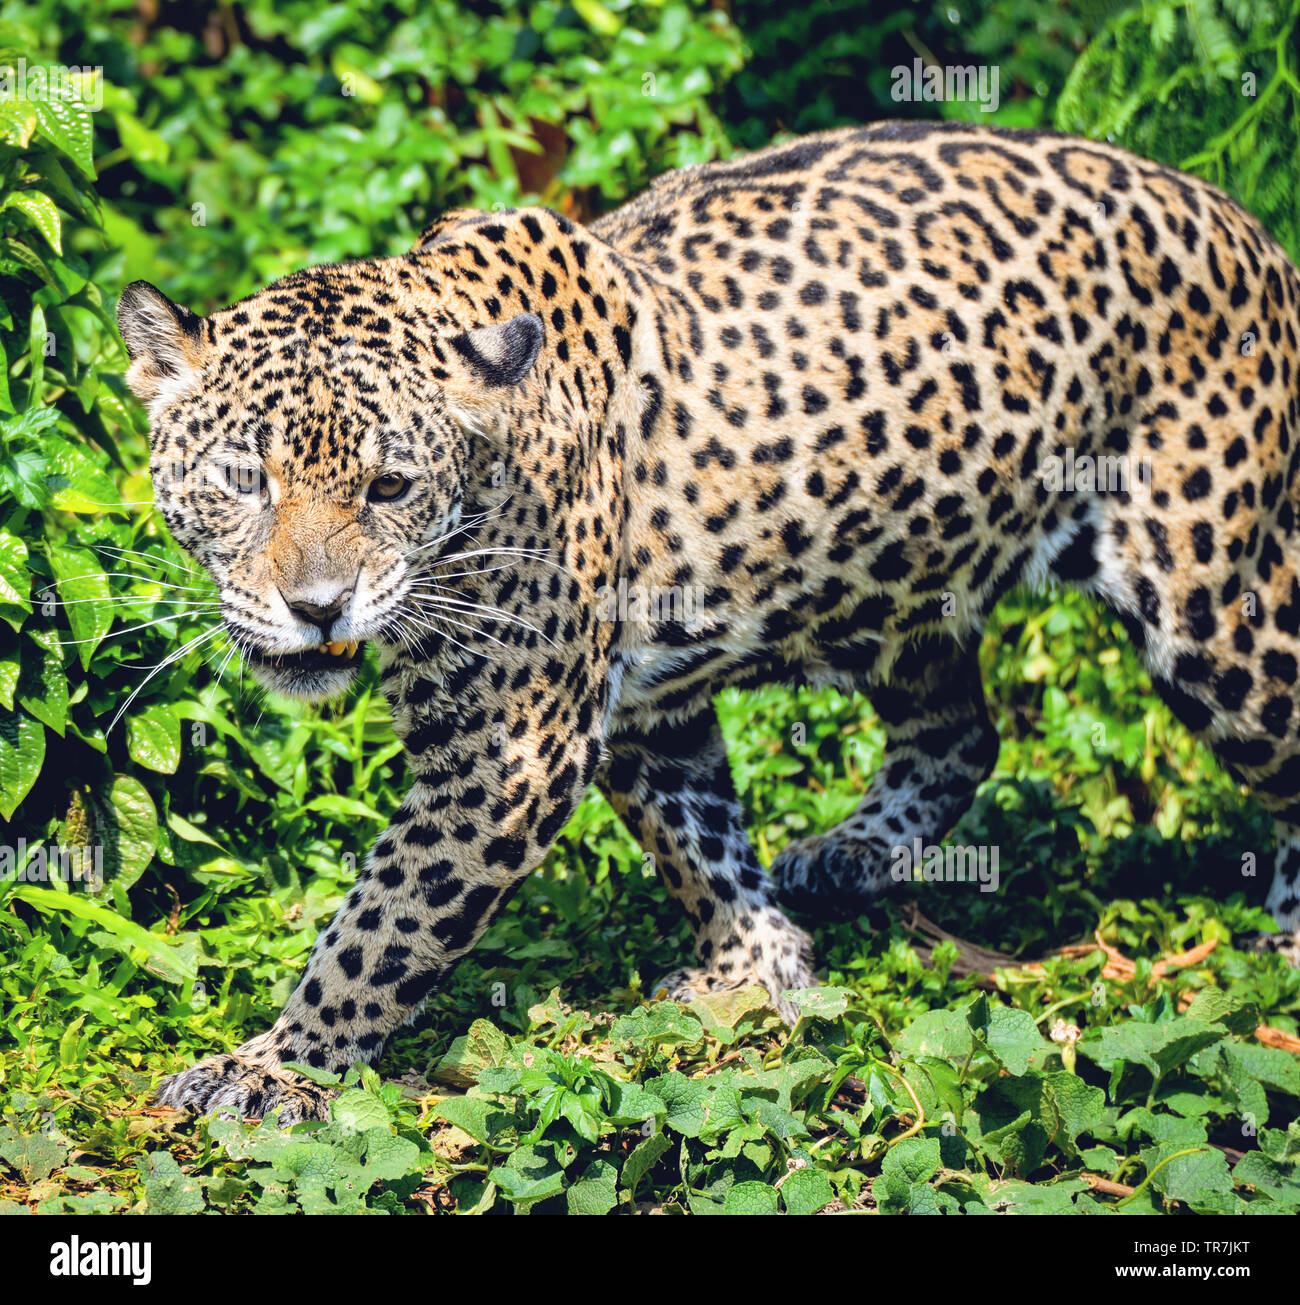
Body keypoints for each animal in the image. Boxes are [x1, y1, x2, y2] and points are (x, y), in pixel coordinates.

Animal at [116, 120, 1300, 1125]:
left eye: (390, 485)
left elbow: (382, 926)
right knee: (961, 731)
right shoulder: (647, 712)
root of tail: (1249, 223)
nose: (317, 608)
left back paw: (1286, 933)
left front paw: (273, 1068)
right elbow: (698, 839)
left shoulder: (509, 753)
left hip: (1214, 603)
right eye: (242, 478)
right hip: (906, 568)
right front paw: (759, 965)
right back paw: (847, 857)